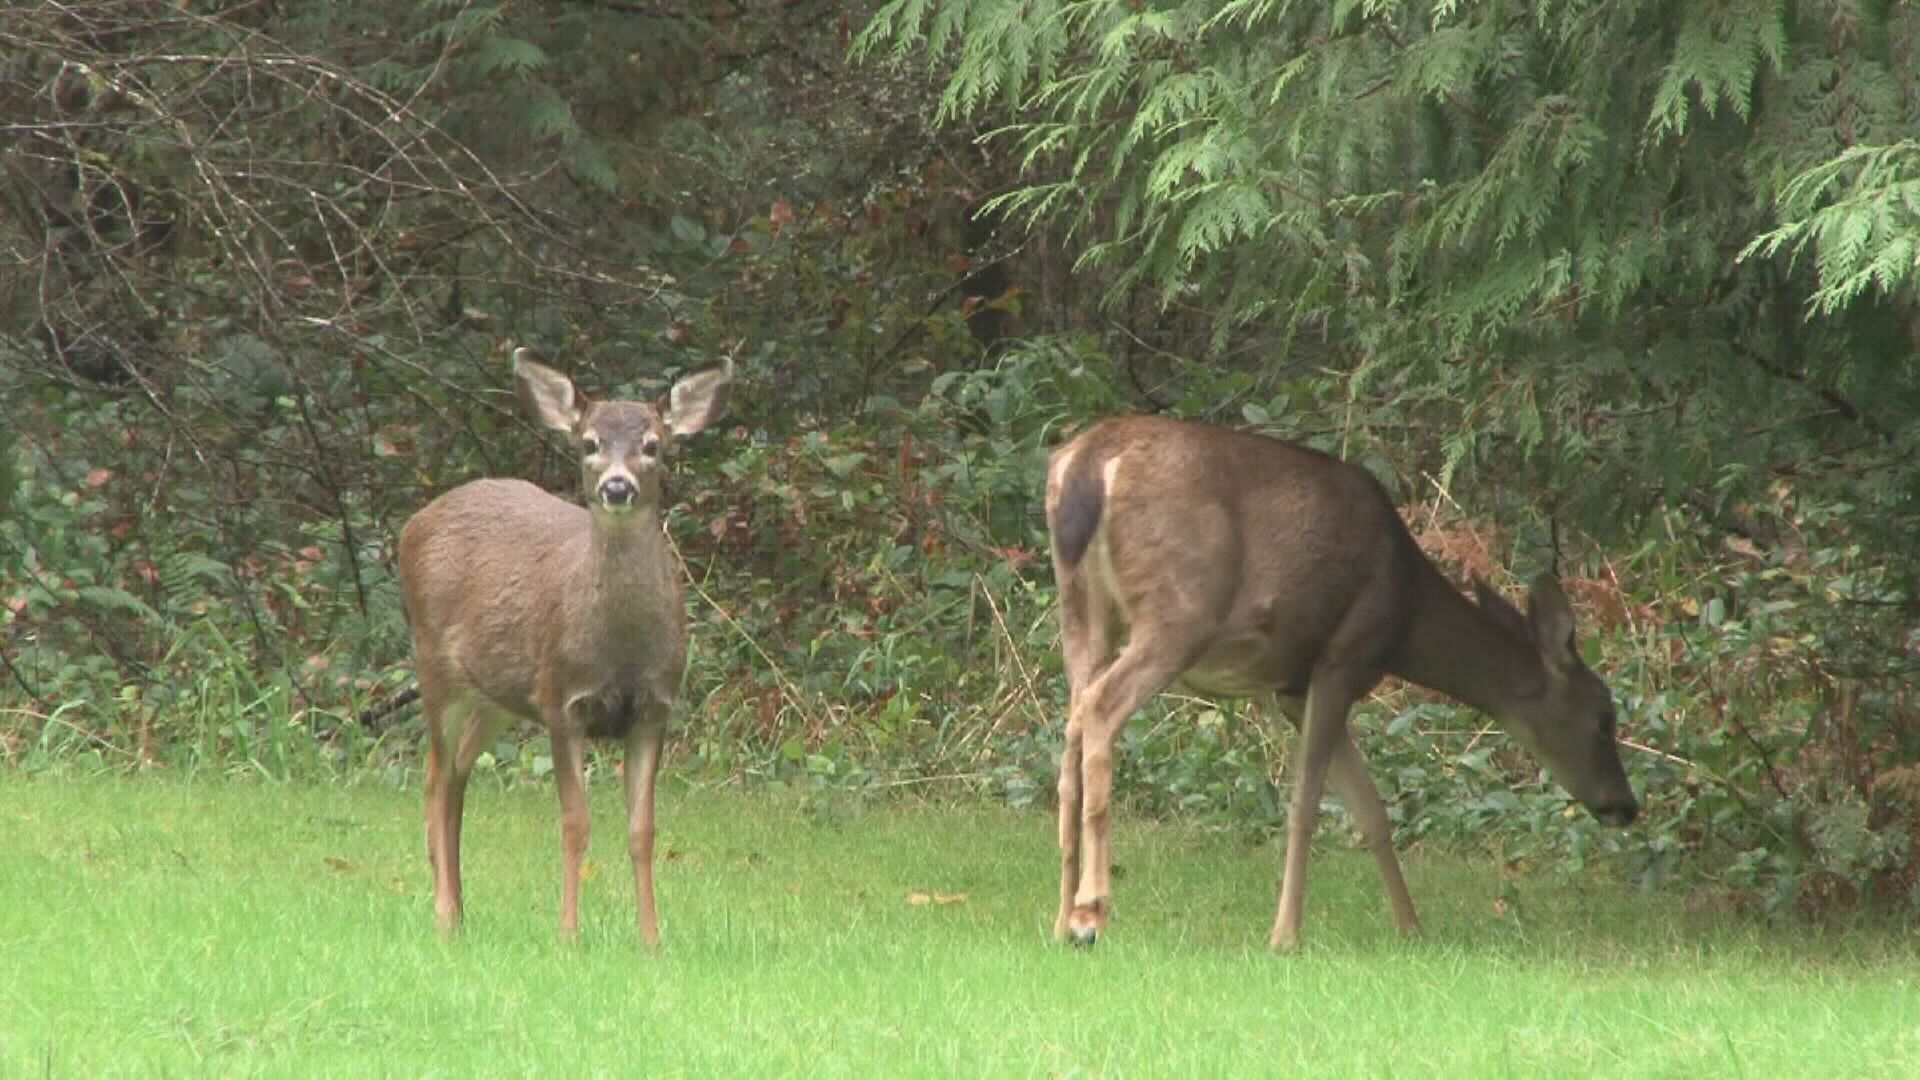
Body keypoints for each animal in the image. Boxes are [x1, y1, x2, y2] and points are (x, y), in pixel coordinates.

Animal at [397, 346, 734, 947]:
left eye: (653, 445)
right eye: (589, 443)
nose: (617, 488)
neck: (620, 652)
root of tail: (411, 526)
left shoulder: (655, 708)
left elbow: (643, 830)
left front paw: (652, 940)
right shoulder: (561, 700)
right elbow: (575, 824)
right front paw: (569, 936)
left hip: (497, 698)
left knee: (457, 774)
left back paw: (461, 911)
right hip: (436, 669)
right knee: (435, 780)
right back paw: (443, 914)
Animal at [1044, 415, 1639, 950]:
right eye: (1604, 717)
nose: (1626, 805)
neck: (1406, 620)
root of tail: (1085, 463)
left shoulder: (1293, 687)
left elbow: (1370, 810)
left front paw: (1411, 929)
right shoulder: (1344, 656)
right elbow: (1308, 803)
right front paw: (1285, 936)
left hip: (1083, 607)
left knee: (1074, 719)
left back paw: (1061, 920)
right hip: (1179, 610)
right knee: (1101, 707)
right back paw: (1092, 910)